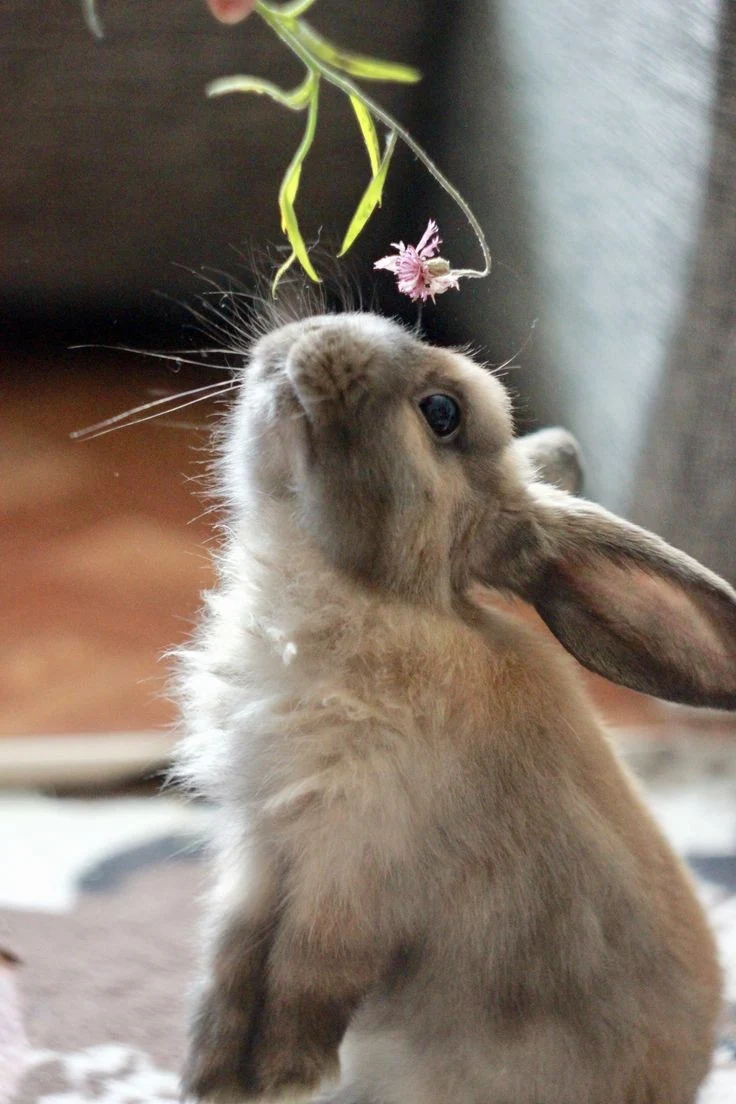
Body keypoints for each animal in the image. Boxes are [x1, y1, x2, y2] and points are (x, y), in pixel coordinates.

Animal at [175, 310, 736, 1104]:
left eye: (442, 413)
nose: (306, 333)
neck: (374, 593)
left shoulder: (361, 868)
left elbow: (306, 976)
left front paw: (283, 1073)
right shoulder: (257, 852)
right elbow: (230, 961)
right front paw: (212, 1071)